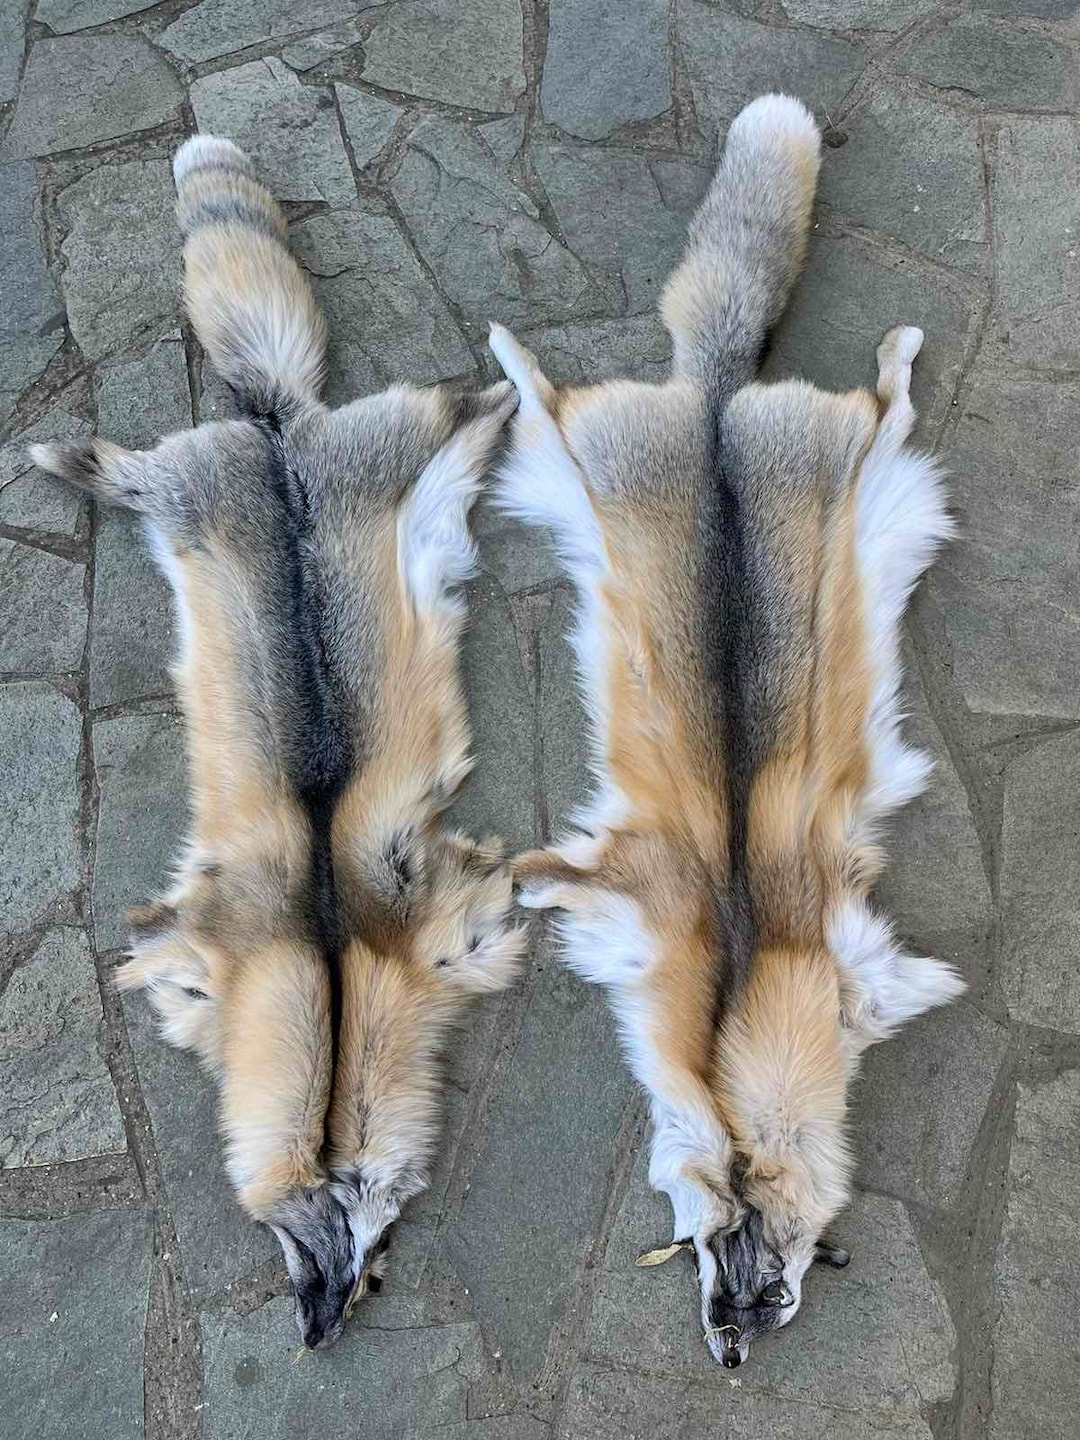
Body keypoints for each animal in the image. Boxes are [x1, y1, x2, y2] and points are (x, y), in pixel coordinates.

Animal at [31, 135, 525, 1349]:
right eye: (311, 1242)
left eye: (369, 1250)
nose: (319, 1334)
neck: (333, 951)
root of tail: (278, 430)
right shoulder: (243, 925)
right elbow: (157, 950)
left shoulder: (424, 921)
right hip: (206, 485)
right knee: (129, 465)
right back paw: (64, 457)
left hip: (384, 459)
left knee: (453, 403)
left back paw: (506, 386)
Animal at [489, 94, 964, 1366]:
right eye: (727, 1249)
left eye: (782, 1268)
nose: (740, 1344)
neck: (735, 993)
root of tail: (713, 404)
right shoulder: (641, 877)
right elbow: (528, 867)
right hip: (695, 455)